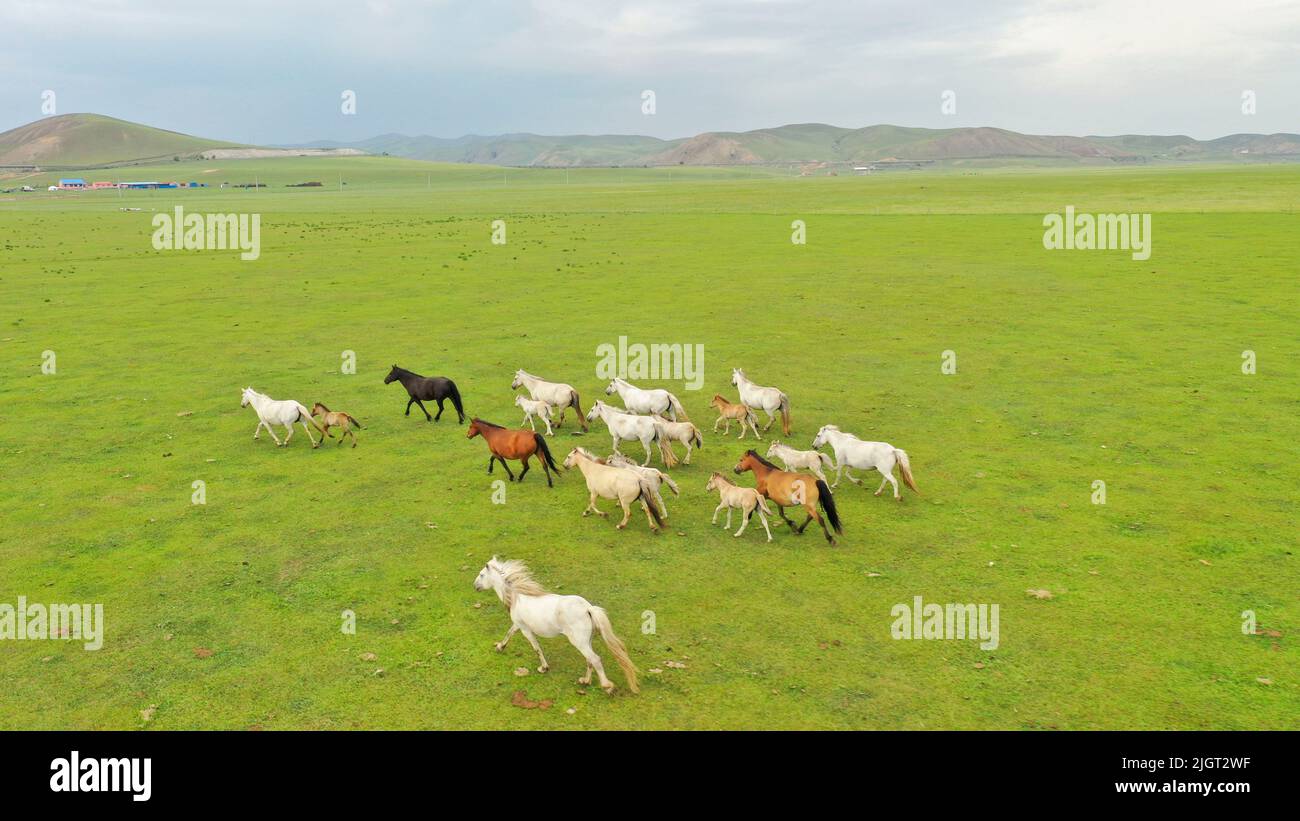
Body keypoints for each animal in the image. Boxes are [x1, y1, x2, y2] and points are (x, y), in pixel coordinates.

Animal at [474, 557, 638, 694]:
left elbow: (536, 648)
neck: (517, 596)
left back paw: (607, 686)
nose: (474, 586)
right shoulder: (518, 625)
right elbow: (509, 633)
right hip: (586, 641)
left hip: (579, 642)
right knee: (589, 659)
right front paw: (500, 647)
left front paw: (543, 668)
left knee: (595, 659)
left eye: (481, 575)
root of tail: (588, 608)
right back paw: (585, 681)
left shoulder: (526, 630)